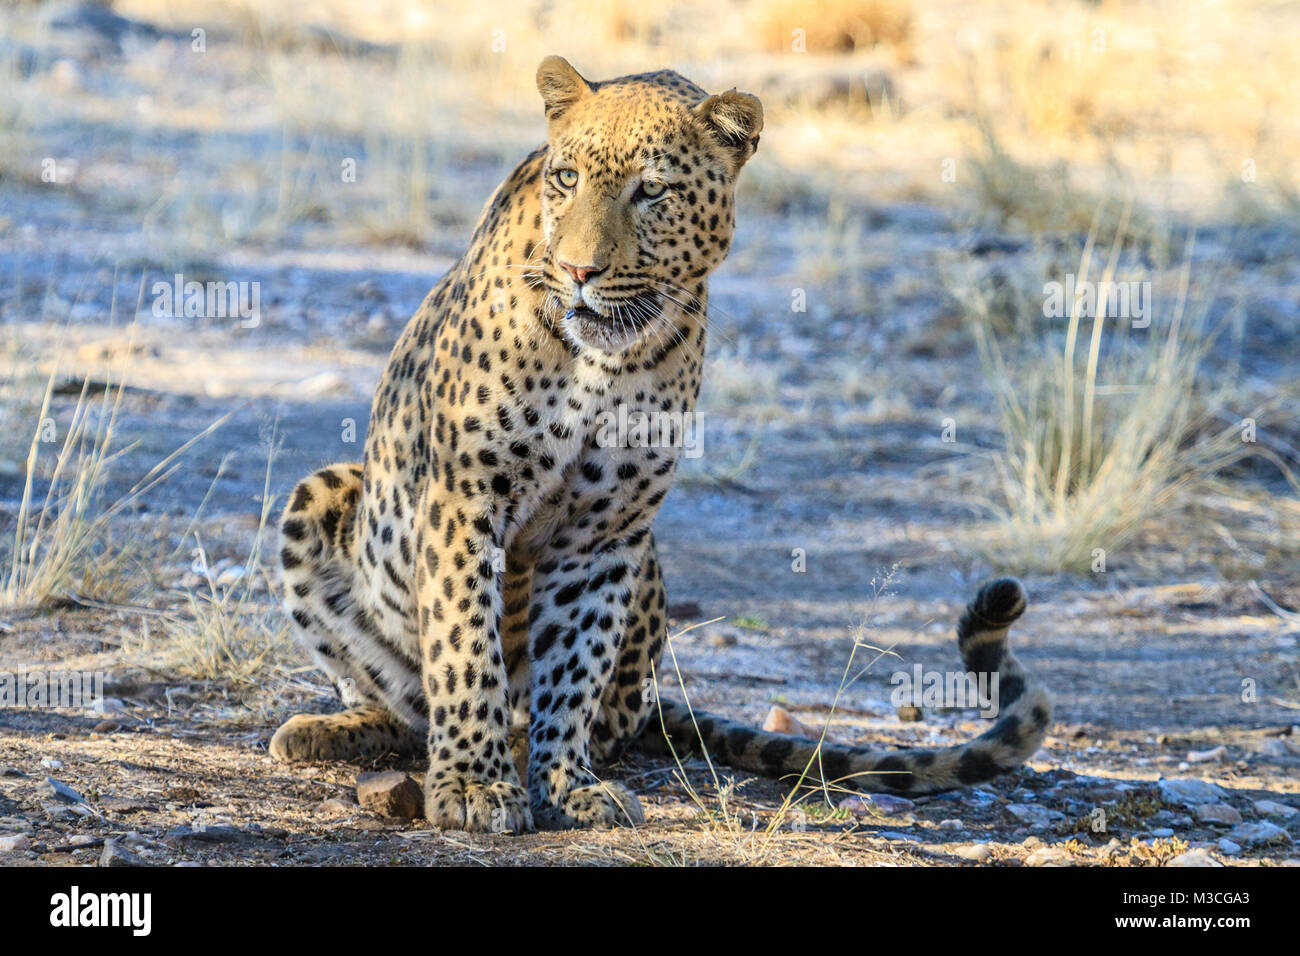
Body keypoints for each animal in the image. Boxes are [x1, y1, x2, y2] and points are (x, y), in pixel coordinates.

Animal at [270, 56, 1052, 832]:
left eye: (652, 190)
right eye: (566, 177)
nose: (579, 271)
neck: (600, 358)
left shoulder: (605, 531)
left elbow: (573, 665)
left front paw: (562, 784)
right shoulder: (465, 498)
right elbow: (465, 647)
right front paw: (472, 783)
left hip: (643, 573)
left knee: (605, 714)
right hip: (324, 493)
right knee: (406, 707)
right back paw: (330, 732)